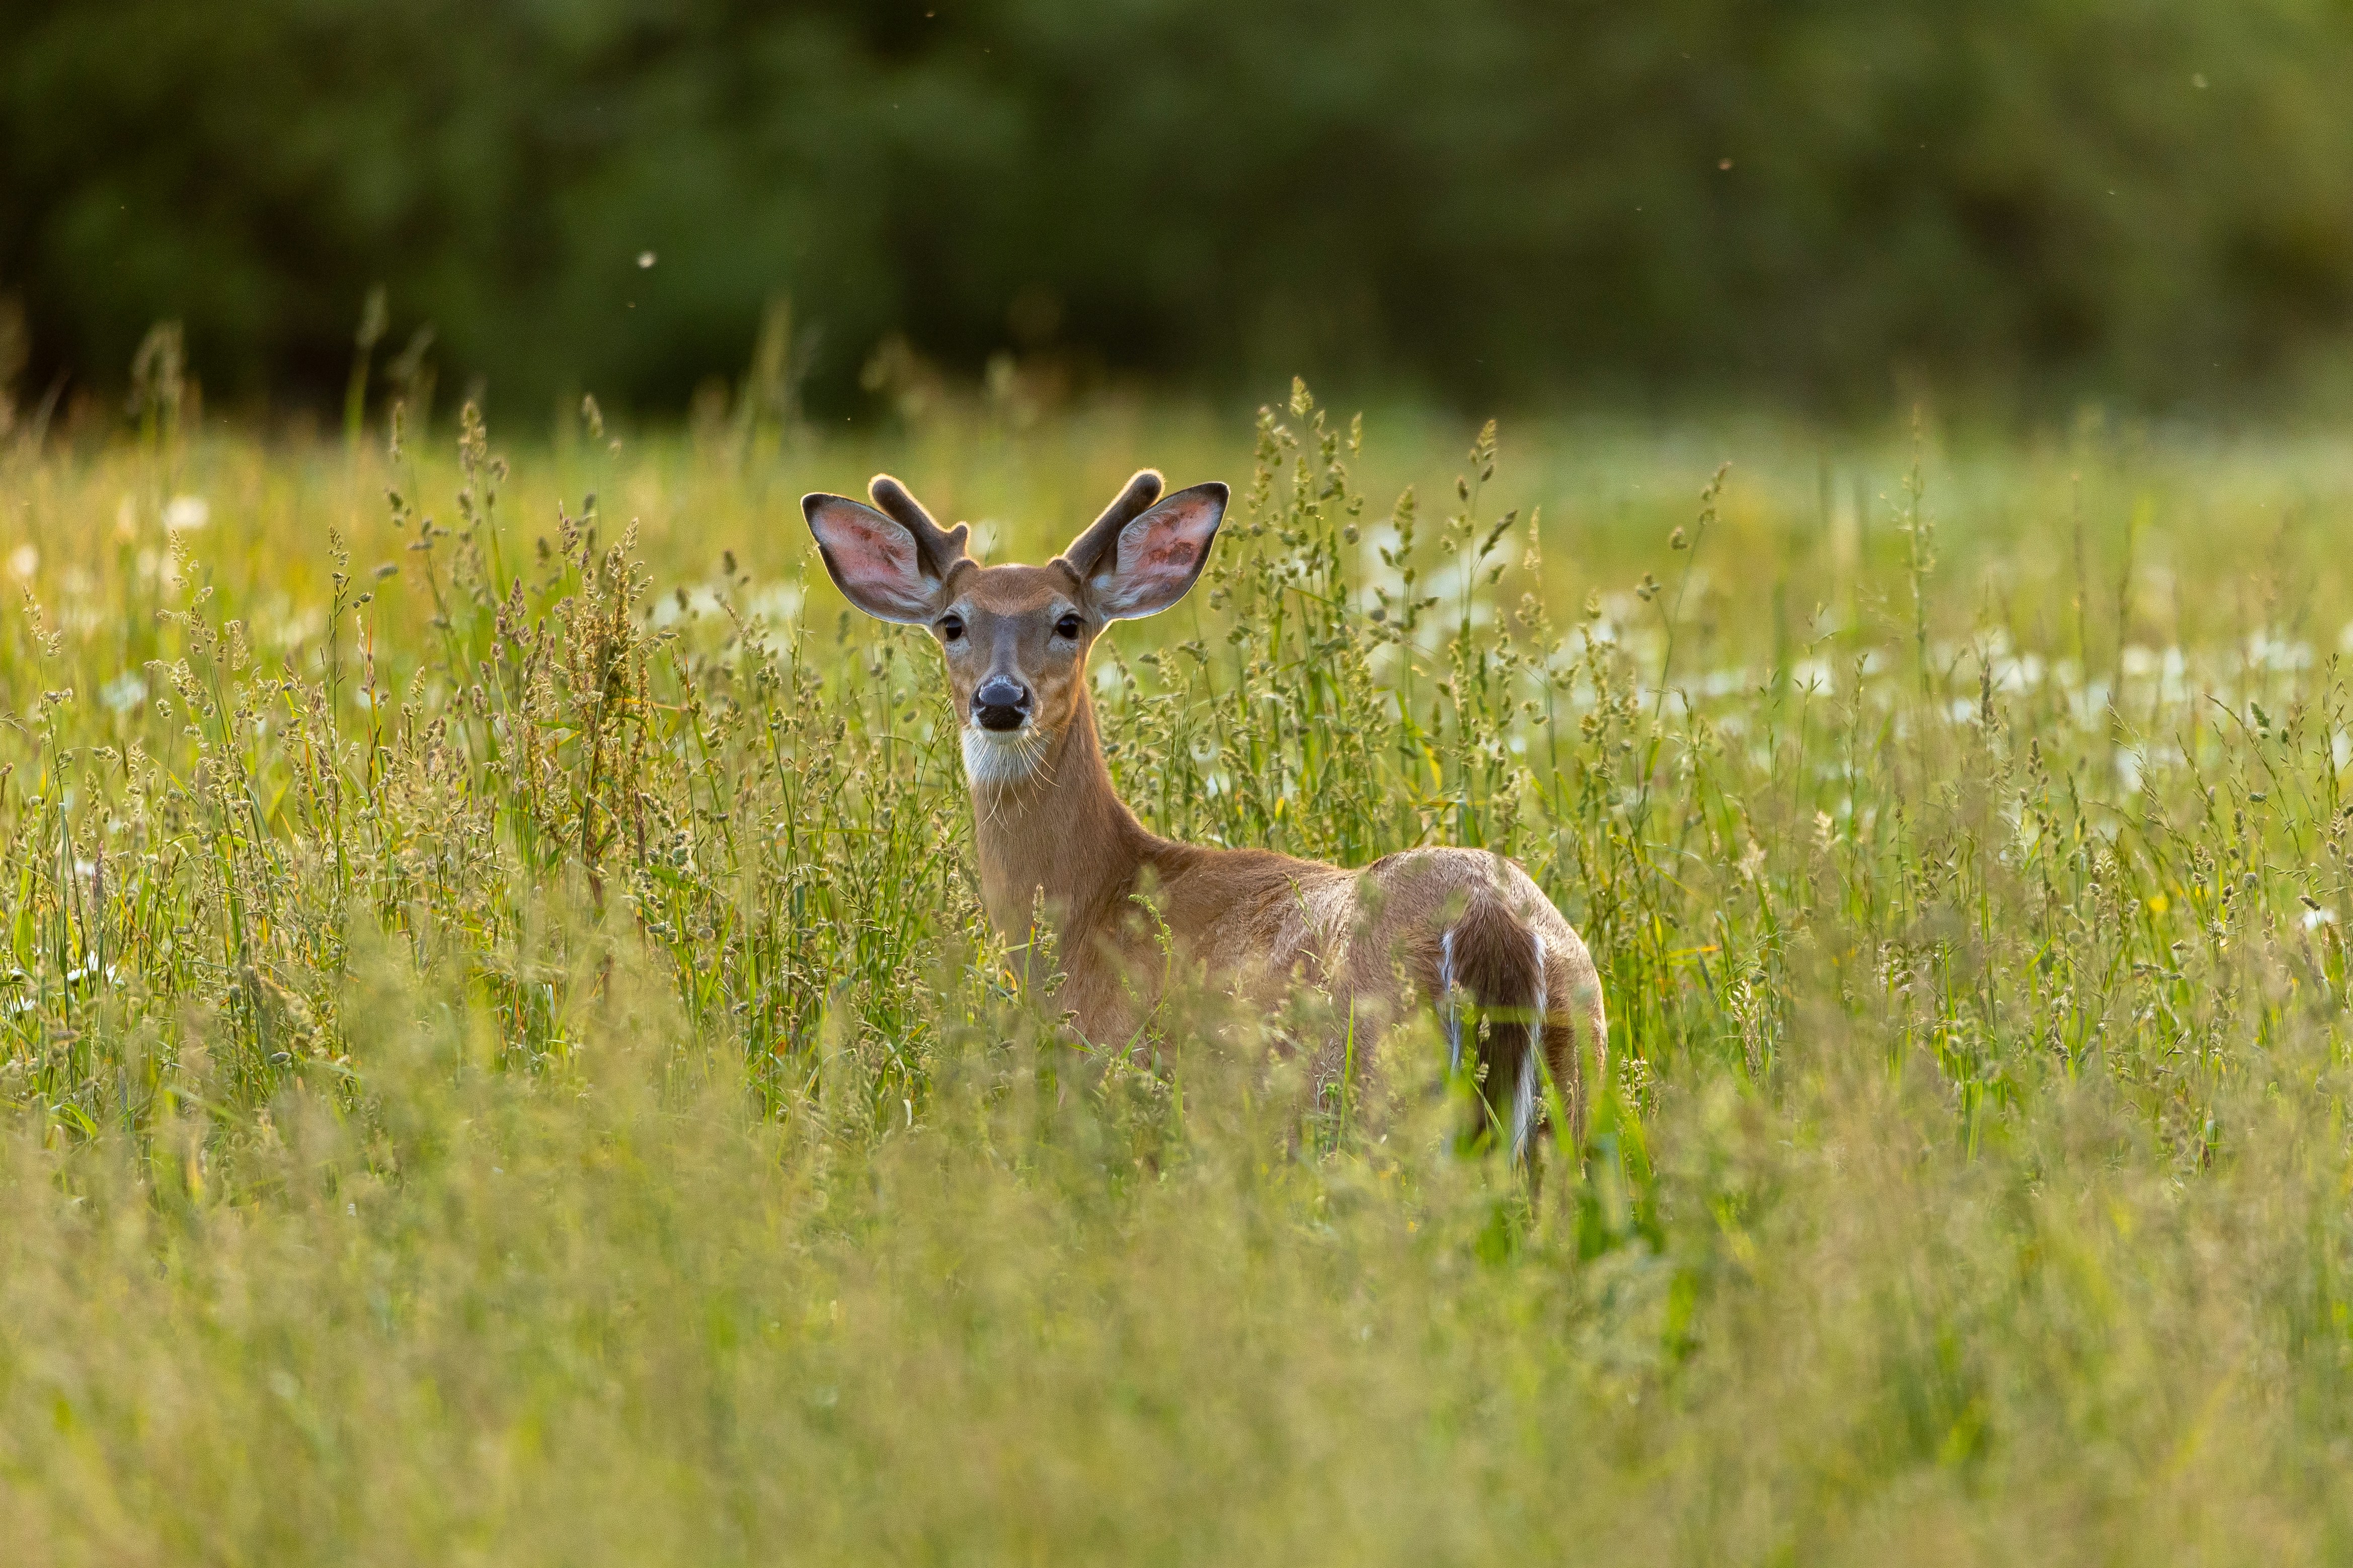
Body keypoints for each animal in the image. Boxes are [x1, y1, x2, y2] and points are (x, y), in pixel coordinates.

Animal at [803, 469, 1607, 1157]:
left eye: (1068, 622)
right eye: (951, 623)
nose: (1000, 701)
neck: (1094, 909)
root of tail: (1489, 920)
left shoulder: (1115, 1078)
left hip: (1370, 1094)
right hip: (1572, 1079)